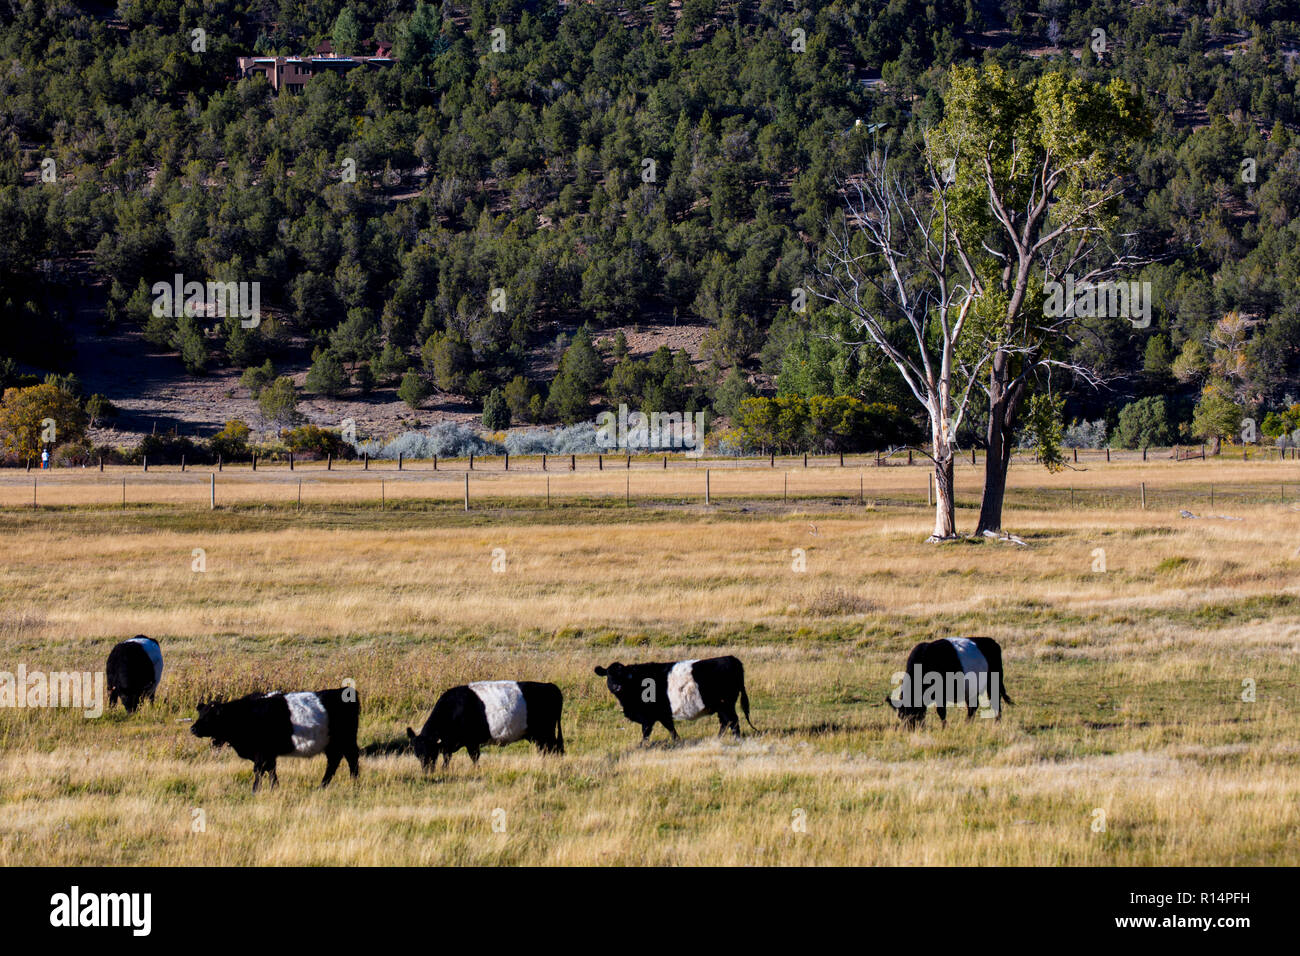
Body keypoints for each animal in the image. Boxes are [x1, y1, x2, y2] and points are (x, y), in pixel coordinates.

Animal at [190, 688, 360, 791]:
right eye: (201, 714)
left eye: (211, 716)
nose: (193, 729)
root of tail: (345, 691)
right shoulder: (268, 754)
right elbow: (271, 769)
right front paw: (274, 787)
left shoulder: (262, 751)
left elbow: (259, 770)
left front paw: (255, 790)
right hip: (333, 744)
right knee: (334, 762)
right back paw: (324, 785)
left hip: (346, 741)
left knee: (351, 759)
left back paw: (353, 782)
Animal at [406, 681, 564, 770]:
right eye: (417, 754)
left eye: (430, 751)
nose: (426, 770)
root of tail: (551, 686)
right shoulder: (449, 743)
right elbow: (447, 757)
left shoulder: (471, 741)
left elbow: (474, 757)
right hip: (540, 736)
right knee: (546, 750)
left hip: (545, 733)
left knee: (552, 749)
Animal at [593, 655, 755, 741]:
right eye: (609, 675)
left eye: (622, 675)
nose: (617, 687)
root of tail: (732, 658)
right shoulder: (662, 715)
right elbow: (670, 729)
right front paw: (677, 741)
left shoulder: (649, 716)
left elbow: (647, 732)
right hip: (721, 706)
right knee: (726, 722)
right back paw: (717, 739)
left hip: (726, 704)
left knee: (733, 721)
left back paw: (736, 739)